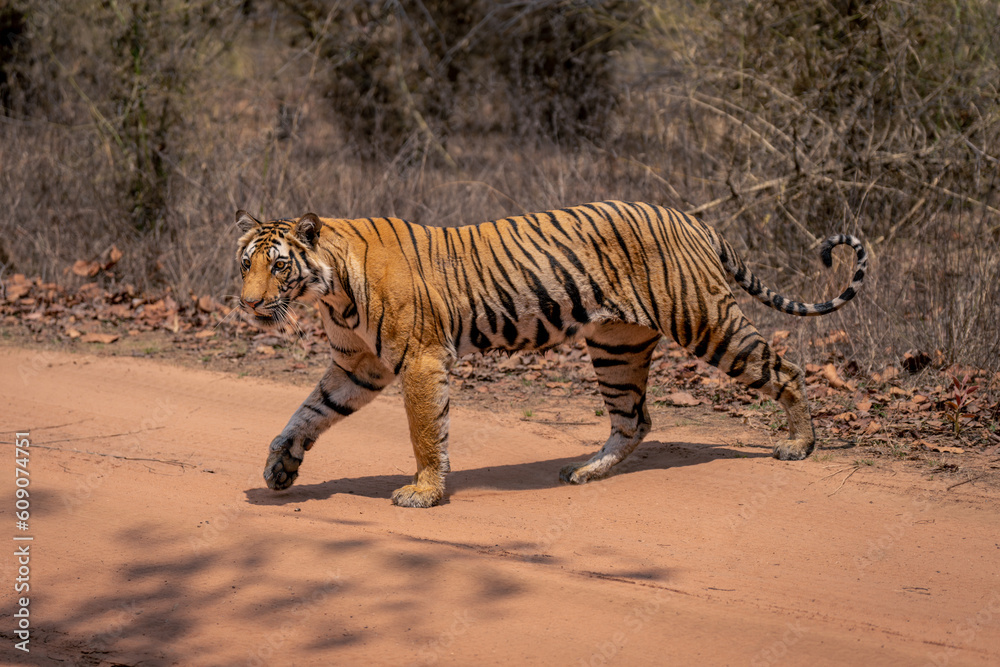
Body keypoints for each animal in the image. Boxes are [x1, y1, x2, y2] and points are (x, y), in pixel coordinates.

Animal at [236, 201, 866, 508]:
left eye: (280, 266)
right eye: (246, 264)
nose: (248, 303)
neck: (331, 292)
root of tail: (694, 220)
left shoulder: (421, 360)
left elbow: (424, 431)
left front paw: (424, 492)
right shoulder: (356, 367)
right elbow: (306, 414)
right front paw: (279, 468)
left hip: (705, 322)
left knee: (785, 368)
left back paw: (799, 445)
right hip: (615, 347)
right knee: (635, 419)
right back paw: (585, 472)